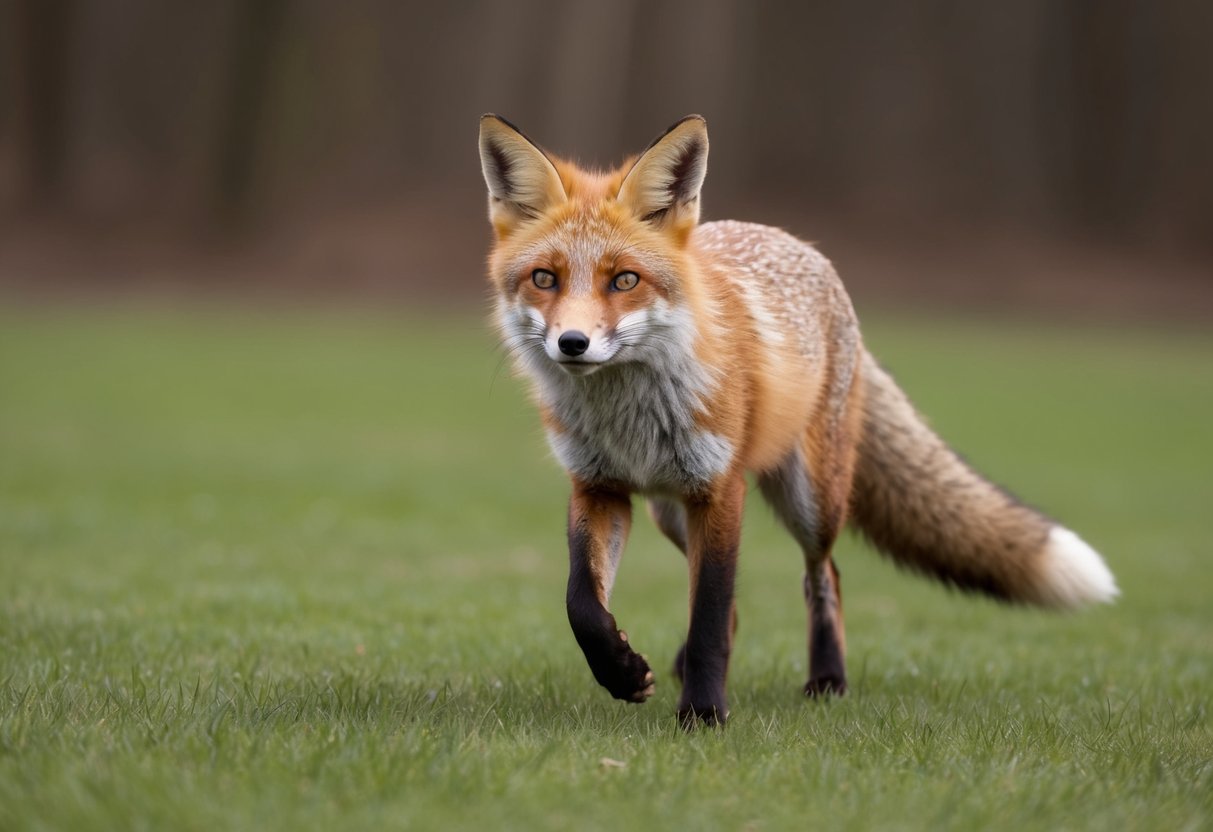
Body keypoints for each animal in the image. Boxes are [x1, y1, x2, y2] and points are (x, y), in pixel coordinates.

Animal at [477, 113, 1118, 726]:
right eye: (544, 278)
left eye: (625, 280)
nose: (573, 343)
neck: (628, 417)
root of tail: (801, 245)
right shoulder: (598, 487)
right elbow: (583, 604)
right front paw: (622, 671)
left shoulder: (721, 490)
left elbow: (709, 616)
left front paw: (704, 716)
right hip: (671, 512)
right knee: (736, 606)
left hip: (812, 501)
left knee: (822, 577)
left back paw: (827, 681)